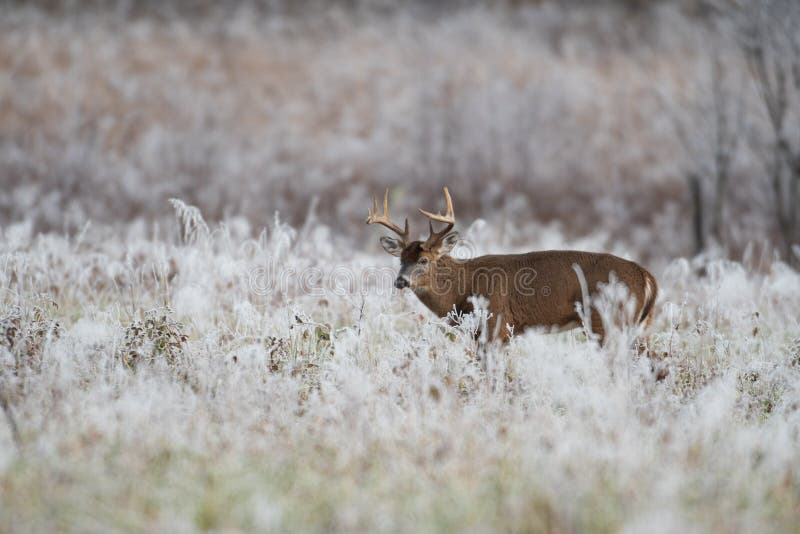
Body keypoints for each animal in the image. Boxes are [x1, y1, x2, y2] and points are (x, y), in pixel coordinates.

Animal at [366, 187, 658, 345]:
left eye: (424, 260)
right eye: (401, 259)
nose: (400, 281)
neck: (463, 288)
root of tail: (646, 276)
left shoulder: (497, 325)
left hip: (608, 321)